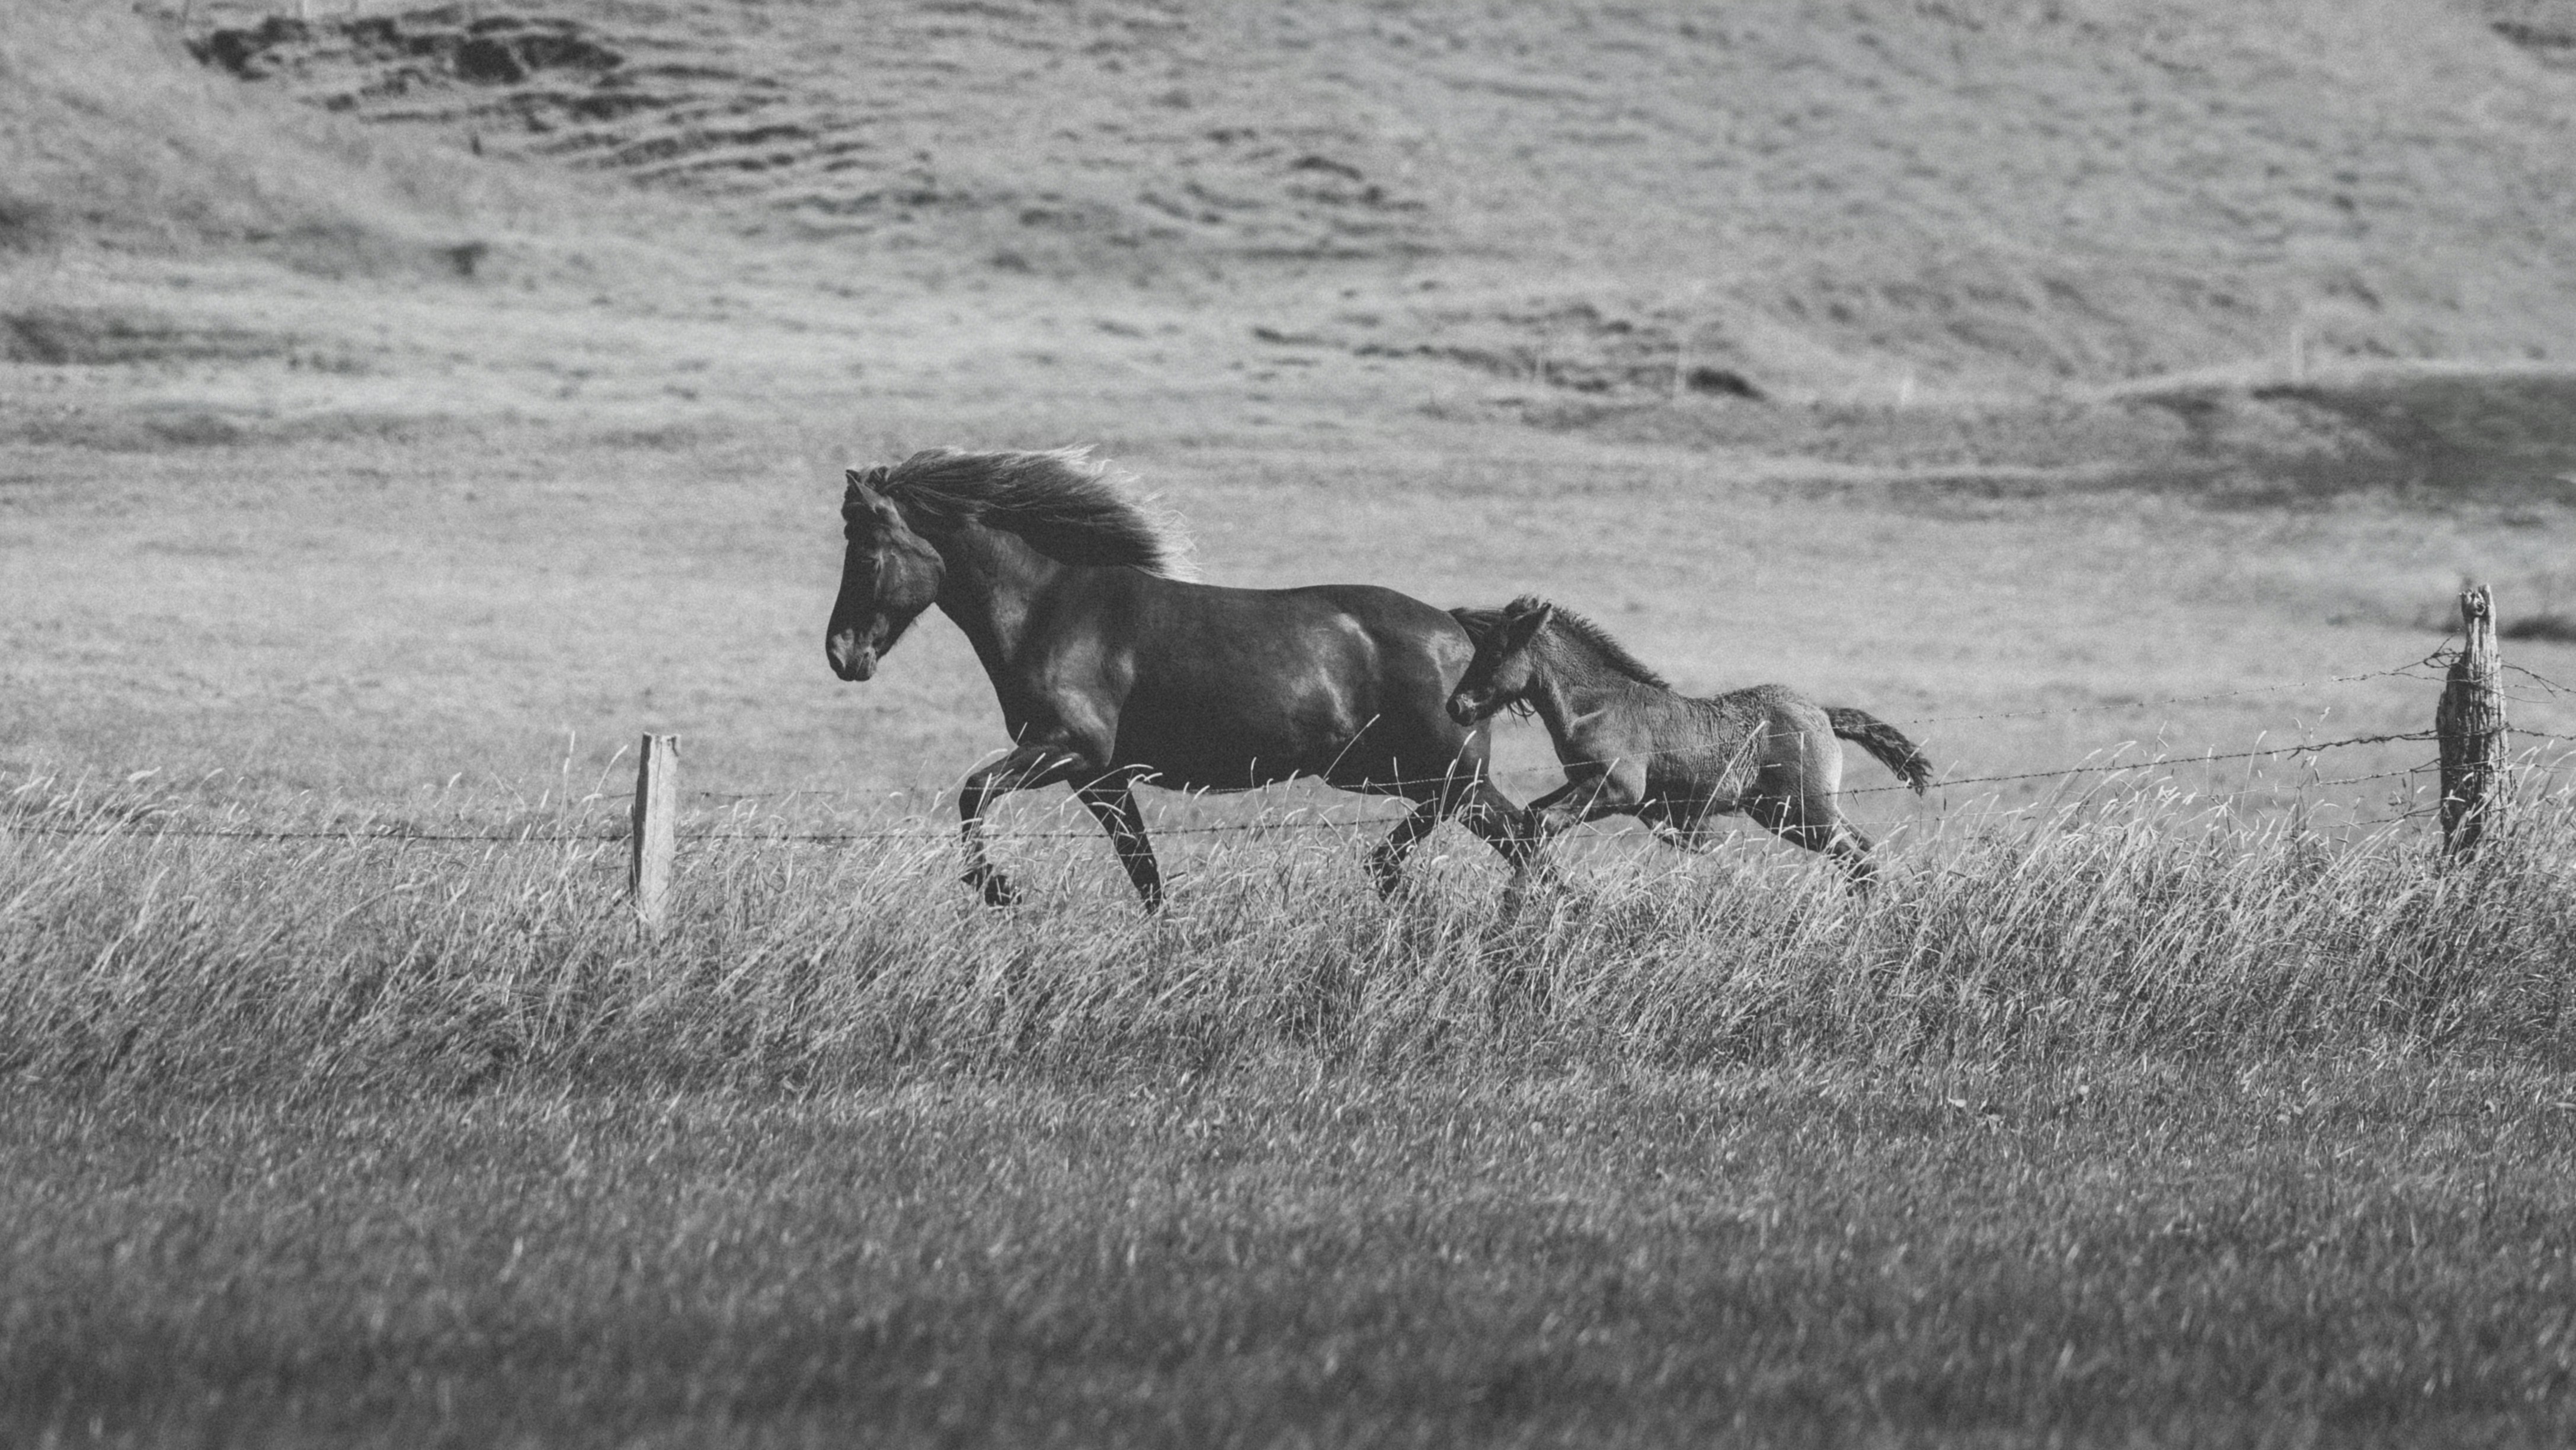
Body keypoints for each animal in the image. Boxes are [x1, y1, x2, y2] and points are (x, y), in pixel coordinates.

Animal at [824, 447, 1539, 910]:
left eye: (867, 555)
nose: (840, 654)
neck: (1049, 608)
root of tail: (1458, 633)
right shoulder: (1100, 776)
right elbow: (1144, 873)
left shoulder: (1067, 749)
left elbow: (975, 791)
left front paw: (998, 888)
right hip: (1383, 775)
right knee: (1513, 835)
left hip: (1437, 774)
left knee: (1515, 834)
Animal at [1444, 596, 1933, 886]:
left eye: (1495, 653)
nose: (1456, 706)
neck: (1596, 705)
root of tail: (1822, 715)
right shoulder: (1582, 781)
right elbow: (1531, 816)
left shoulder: (1620, 790)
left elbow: (1544, 821)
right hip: (1789, 813)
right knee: (1863, 848)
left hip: (1803, 811)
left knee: (1860, 861)